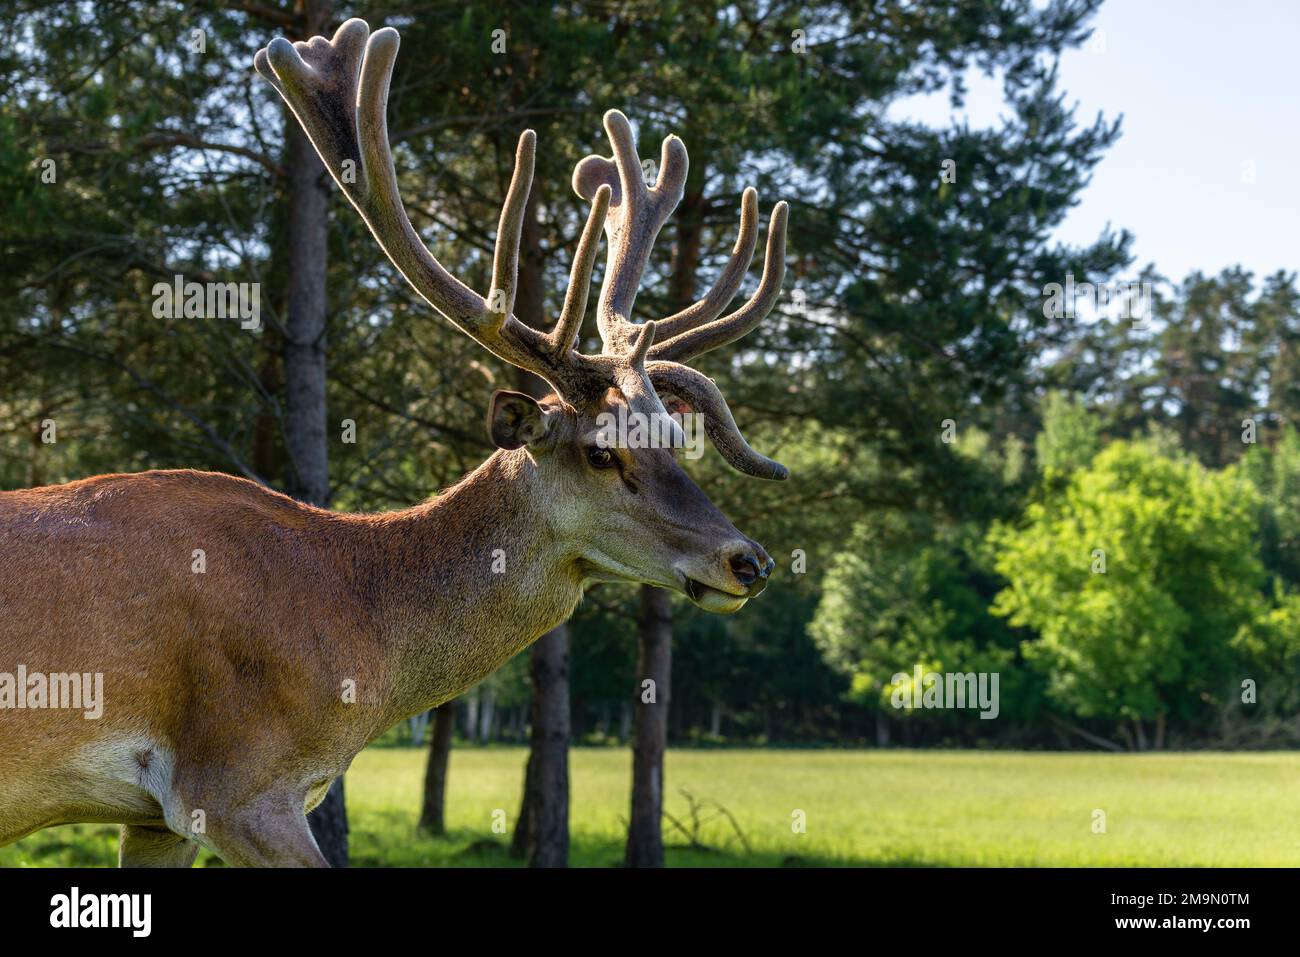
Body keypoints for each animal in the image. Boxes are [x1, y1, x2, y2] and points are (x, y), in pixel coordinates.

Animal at [0, 18, 788, 868]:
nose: (748, 559)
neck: (351, 631)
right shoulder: (237, 780)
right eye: (602, 451)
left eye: (676, 436)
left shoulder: (153, 816)